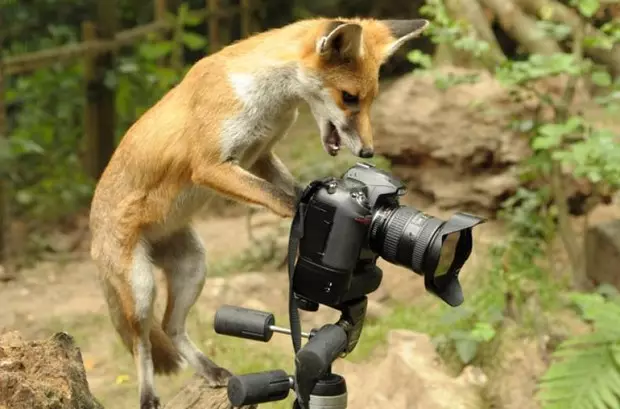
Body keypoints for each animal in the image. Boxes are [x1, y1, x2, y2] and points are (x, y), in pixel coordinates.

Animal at [88, 16, 426, 408]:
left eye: (371, 99)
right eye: (349, 97)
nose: (369, 152)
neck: (265, 101)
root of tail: (92, 237)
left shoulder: (260, 155)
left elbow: (291, 188)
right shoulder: (211, 166)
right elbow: (281, 199)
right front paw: (310, 214)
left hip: (193, 266)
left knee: (172, 327)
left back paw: (211, 371)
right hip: (141, 289)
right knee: (141, 343)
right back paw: (148, 396)